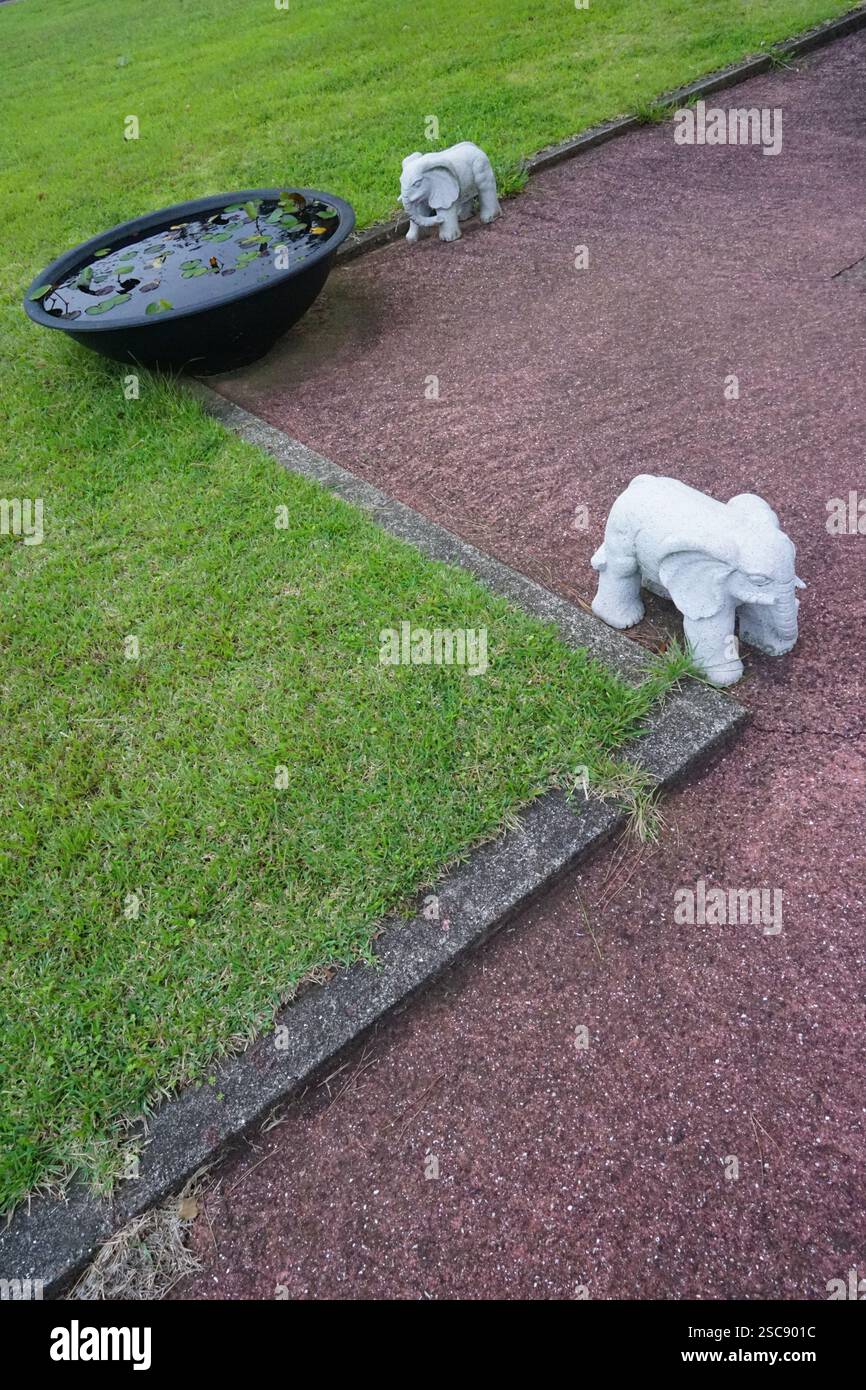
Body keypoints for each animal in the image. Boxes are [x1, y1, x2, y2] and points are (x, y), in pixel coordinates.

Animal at [590, 475, 805, 686]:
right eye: (758, 580)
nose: (788, 647)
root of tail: (639, 481)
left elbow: (760, 612)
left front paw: (776, 648)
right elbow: (711, 627)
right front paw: (726, 678)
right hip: (621, 531)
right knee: (622, 569)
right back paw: (624, 620)